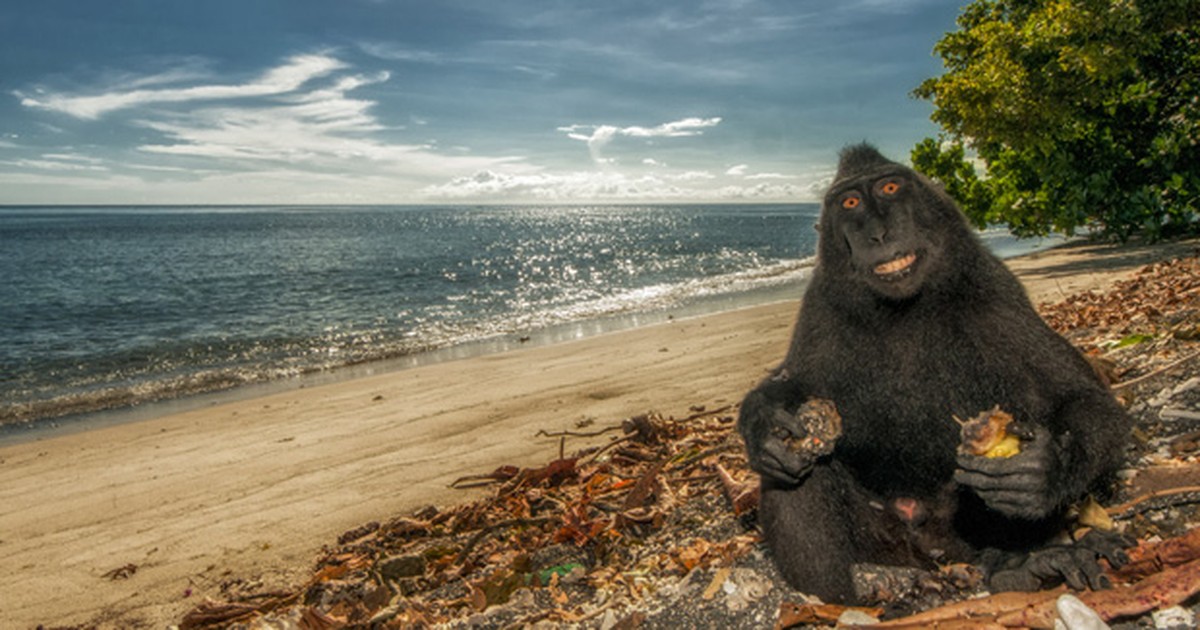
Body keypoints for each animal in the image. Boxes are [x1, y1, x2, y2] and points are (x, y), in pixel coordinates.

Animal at [737, 144, 1131, 603]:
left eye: (890, 188)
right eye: (850, 203)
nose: (877, 235)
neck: (901, 309)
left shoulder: (996, 296)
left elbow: (1083, 400)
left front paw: (1044, 473)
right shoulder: (821, 309)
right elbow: (794, 383)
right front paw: (764, 424)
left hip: (956, 535)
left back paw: (1024, 564)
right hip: (882, 540)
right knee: (799, 477)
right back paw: (843, 600)